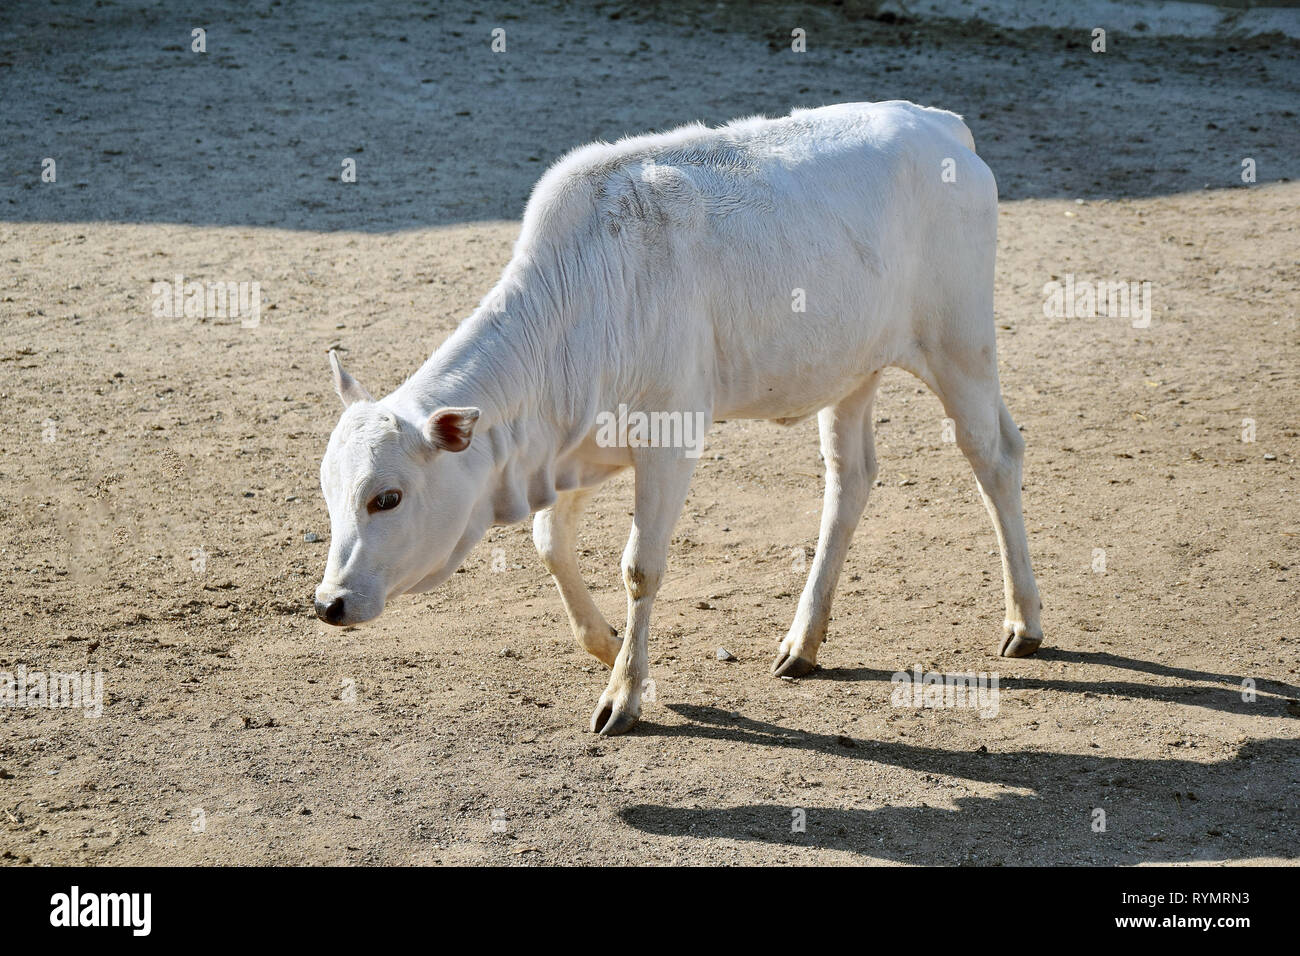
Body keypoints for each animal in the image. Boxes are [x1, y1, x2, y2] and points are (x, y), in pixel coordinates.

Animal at [314, 100, 1044, 736]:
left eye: (387, 497)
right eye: (330, 494)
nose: (328, 603)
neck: (585, 295)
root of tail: (939, 124)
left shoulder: (670, 440)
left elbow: (641, 566)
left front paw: (624, 694)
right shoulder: (578, 444)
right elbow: (550, 541)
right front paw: (607, 644)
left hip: (961, 344)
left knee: (995, 455)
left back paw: (1024, 624)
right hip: (852, 370)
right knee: (851, 478)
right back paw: (803, 642)